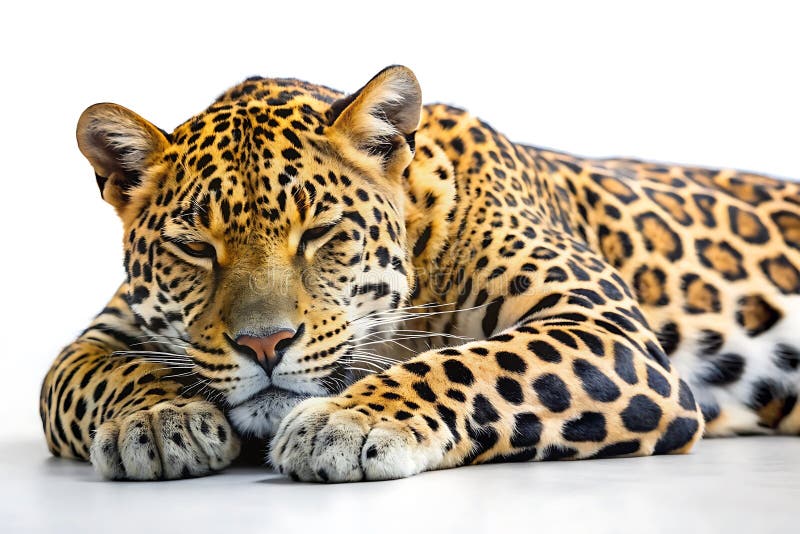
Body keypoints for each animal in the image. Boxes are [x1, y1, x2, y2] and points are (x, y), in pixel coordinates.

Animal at [40, 65, 800, 482]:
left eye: (320, 233)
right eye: (196, 247)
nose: (264, 345)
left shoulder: (603, 325)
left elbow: (475, 363)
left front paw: (347, 423)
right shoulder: (95, 339)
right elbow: (92, 377)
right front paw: (159, 420)